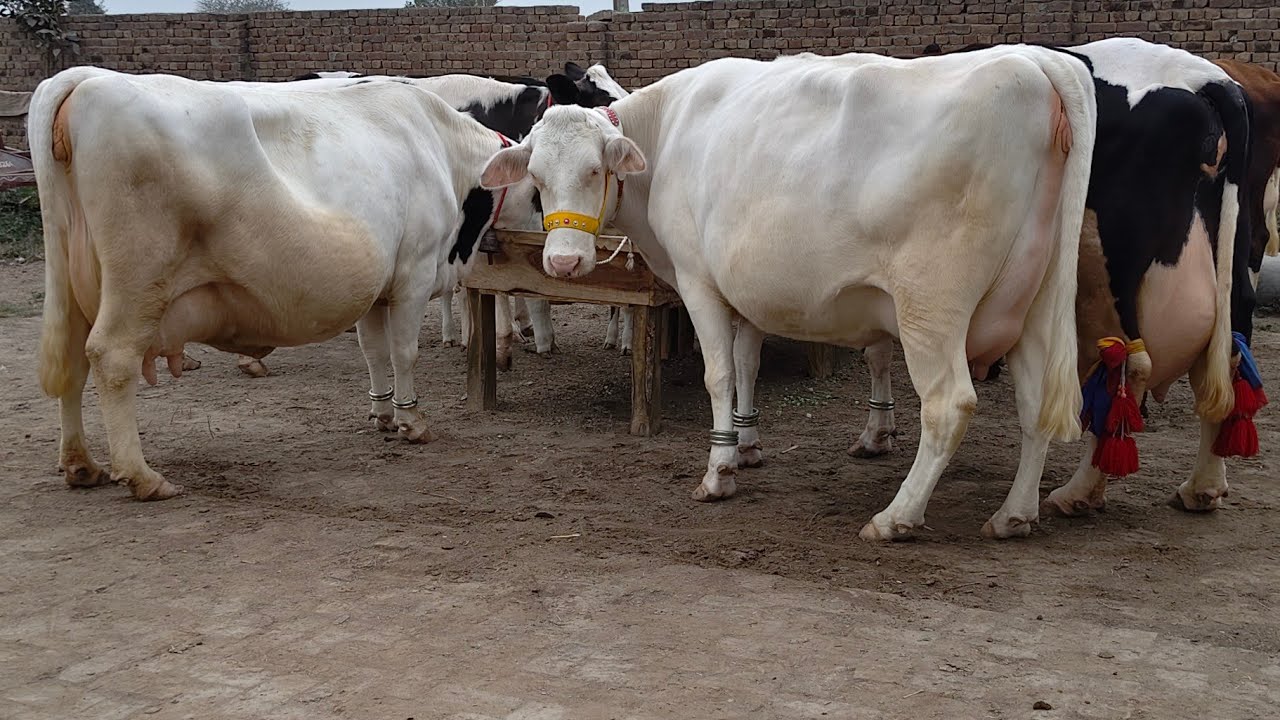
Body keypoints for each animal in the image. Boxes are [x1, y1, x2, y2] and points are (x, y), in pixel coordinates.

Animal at [29, 66, 530, 500]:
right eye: (539, 186)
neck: (439, 147)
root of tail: (88, 78)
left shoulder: (375, 287)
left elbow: (374, 352)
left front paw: (382, 412)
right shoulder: (414, 274)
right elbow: (404, 352)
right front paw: (412, 421)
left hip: (68, 276)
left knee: (72, 359)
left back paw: (81, 464)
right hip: (138, 281)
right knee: (111, 358)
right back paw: (141, 475)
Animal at [481, 46, 1098, 540]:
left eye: (594, 170)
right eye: (536, 176)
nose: (563, 261)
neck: (668, 131)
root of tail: (1033, 61)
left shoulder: (700, 282)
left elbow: (719, 373)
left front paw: (719, 470)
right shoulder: (749, 287)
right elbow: (747, 364)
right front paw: (748, 445)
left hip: (932, 308)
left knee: (949, 405)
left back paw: (896, 517)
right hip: (1032, 302)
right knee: (1035, 403)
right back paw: (1014, 514)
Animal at [856, 38, 1256, 523]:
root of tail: (1207, 79)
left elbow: (876, 348)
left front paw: (875, 434)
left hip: (1111, 271)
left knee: (1130, 366)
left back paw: (1079, 490)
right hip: (1229, 268)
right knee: (1226, 361)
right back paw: (1202, 486)